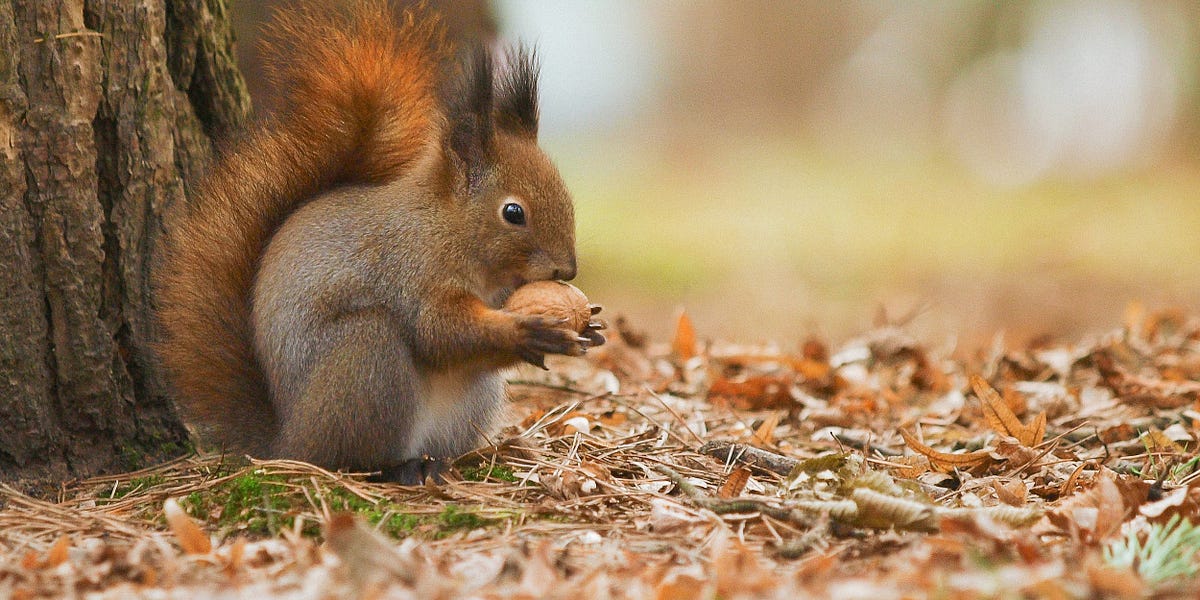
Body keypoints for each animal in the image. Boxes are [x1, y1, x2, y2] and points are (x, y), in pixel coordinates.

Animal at [154, 1, 604, 483]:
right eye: (513, 213)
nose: (568, 270)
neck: (448, 228)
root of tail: (285, 441)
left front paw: (586, 327)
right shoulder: (411, 269)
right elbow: (438, 331)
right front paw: (526, 330)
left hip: (466, 403)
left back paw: (439, 462)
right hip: (366, 360)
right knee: (349, 453)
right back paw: (397, 467)